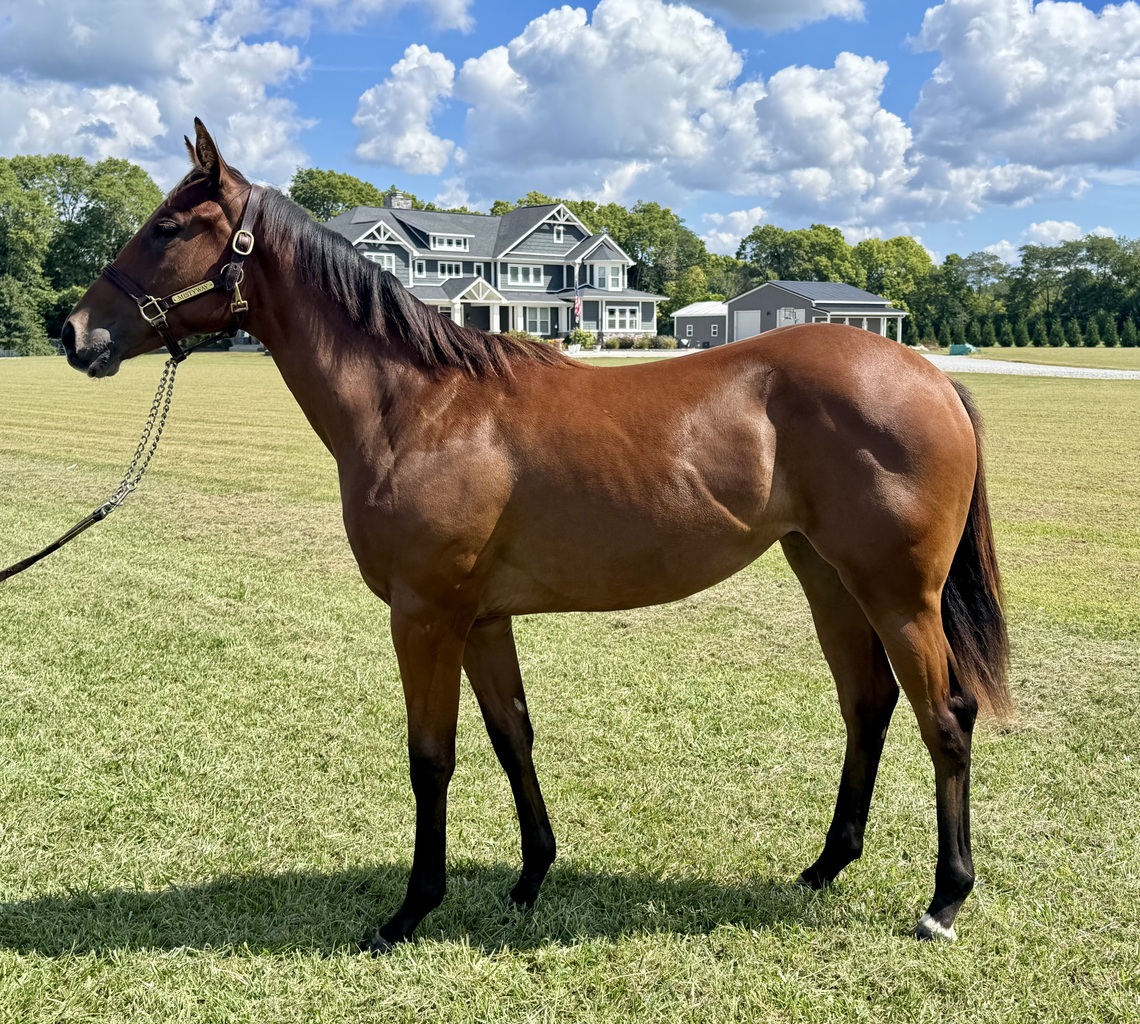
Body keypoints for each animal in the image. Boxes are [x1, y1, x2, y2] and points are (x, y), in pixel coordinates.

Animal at [60, 121, 1010, 951]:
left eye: (167, 226)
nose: (73, 334)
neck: (420, 406)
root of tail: (927, 374)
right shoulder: (482, 619)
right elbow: (511, 736)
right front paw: (528, 879)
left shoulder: (424, 617)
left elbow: (430, 758)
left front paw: (410, 912)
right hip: (827, 575)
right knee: (868, 704)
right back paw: (824, 866)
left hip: (898, 592)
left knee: (945, 717)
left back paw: (944, 899)